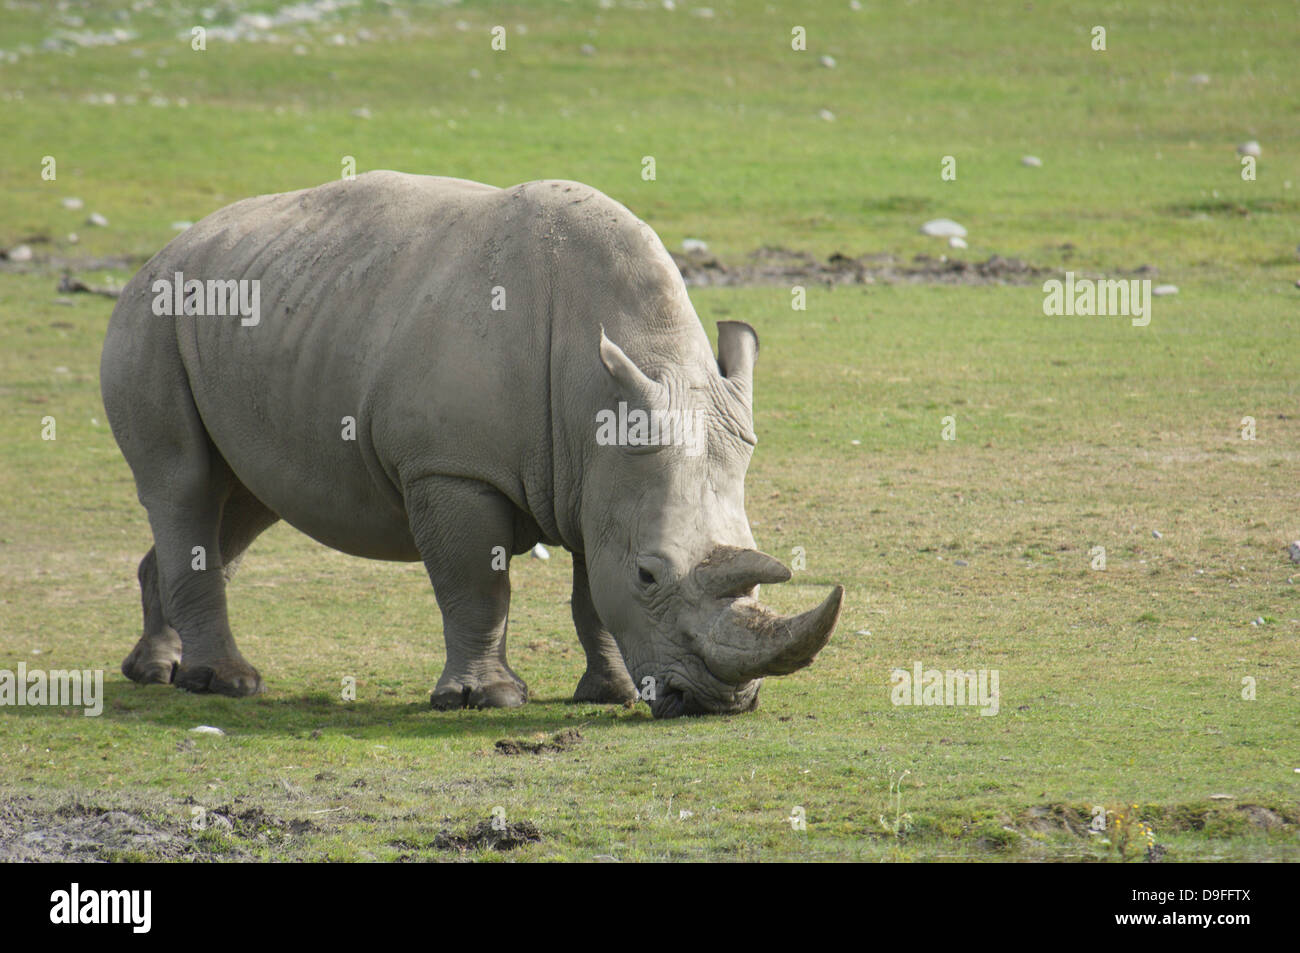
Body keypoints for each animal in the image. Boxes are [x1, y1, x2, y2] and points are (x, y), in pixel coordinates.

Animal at [100, 171, 844, 717]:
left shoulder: (598, 475)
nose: (720, 702)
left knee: (242, 500)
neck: (599, 396)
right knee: (185, 484)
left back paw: (156, 671)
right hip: (151, 319)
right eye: (649, 575)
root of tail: (159, 255)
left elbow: (590, 594)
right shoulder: (452, 468)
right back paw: (224, 684)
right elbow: (477, 582)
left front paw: (609, 694)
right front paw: (485, 699)